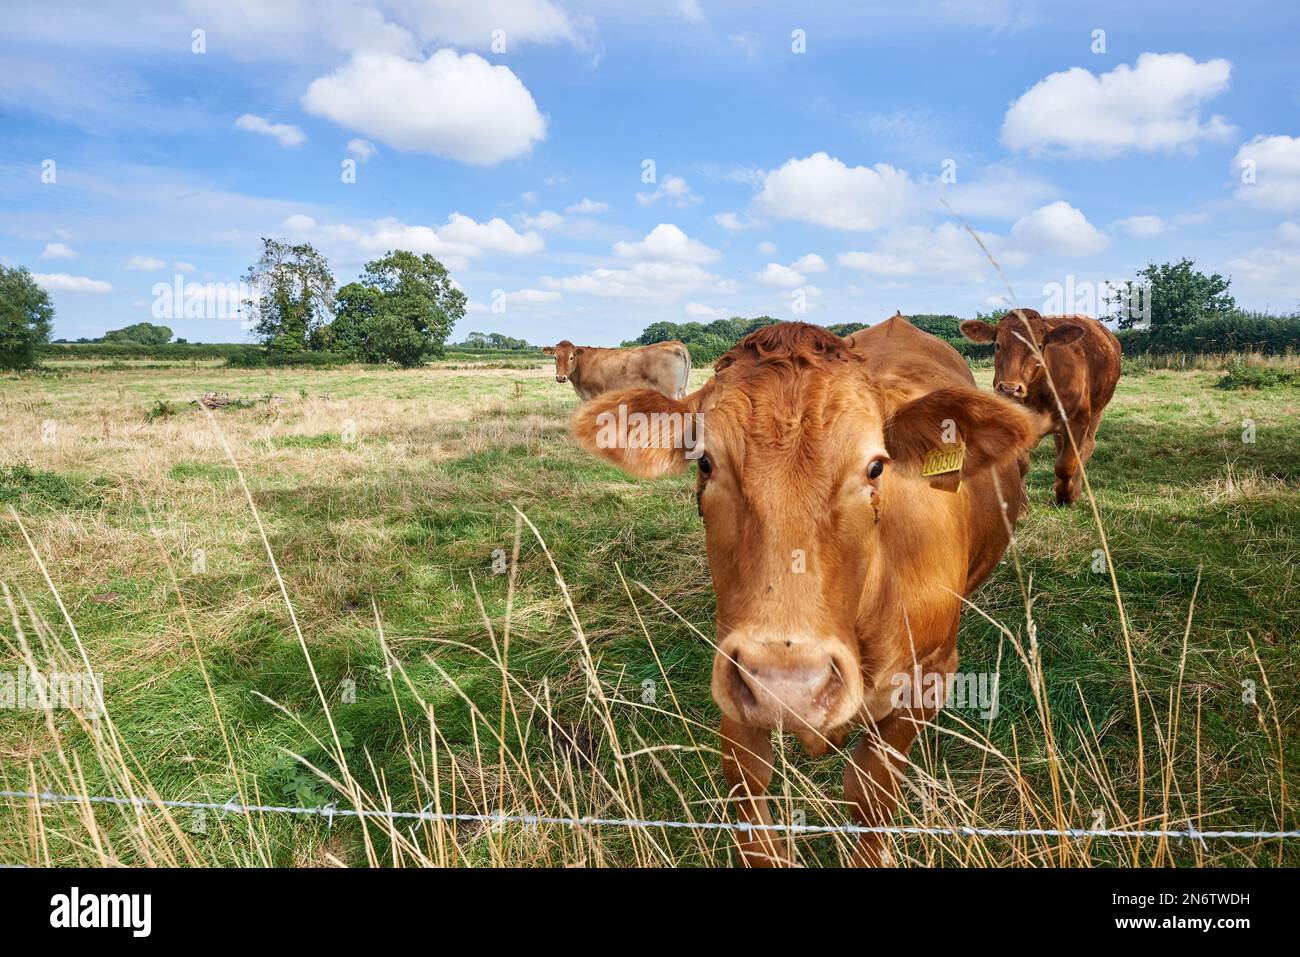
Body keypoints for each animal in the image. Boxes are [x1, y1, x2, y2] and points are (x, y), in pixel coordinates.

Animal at [542, 339, 692, 401]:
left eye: (571, 357)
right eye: (555, 357)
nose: (560, 377)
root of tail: (674, 343)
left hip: (669, 391)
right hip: (682, 390)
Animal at [570, 317, 1043, 866]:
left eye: (876, 466)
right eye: (705, 463)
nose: (789, 686)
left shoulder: (931, 672)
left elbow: (871, 794)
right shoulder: (735, 677)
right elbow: (749, 788)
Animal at [959, 308, 1121, 506]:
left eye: (1039, 346)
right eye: (997, 345)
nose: (1009, 388)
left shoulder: (1078, 421)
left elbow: (1066, 464)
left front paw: (1066, 496)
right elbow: (1021, 464)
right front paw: (1021, 504)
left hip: (1097, 411)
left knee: (1086, 448)